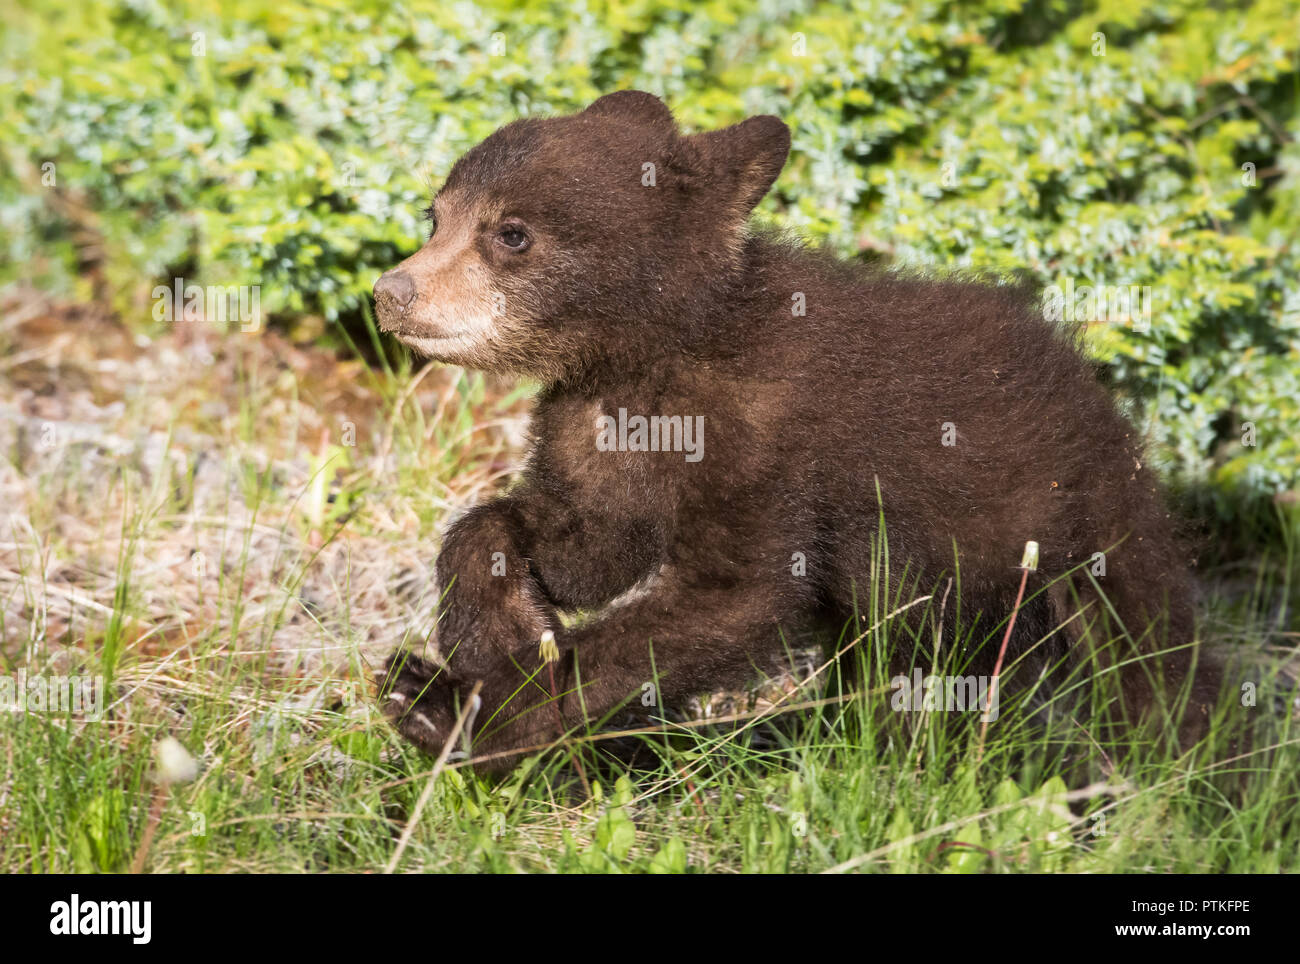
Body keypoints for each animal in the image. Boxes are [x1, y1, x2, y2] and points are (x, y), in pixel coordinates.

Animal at [371, 90, 1225, 772]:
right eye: (437, 216)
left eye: (511, 233)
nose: (392, 292)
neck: (655, 355)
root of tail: (1097, 391)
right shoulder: (594, 428)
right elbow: (576, 545)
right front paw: (501, 633)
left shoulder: (766, 452)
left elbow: (733, 594)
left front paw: (458, 712)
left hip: (1072, 527)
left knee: (1150, 666)